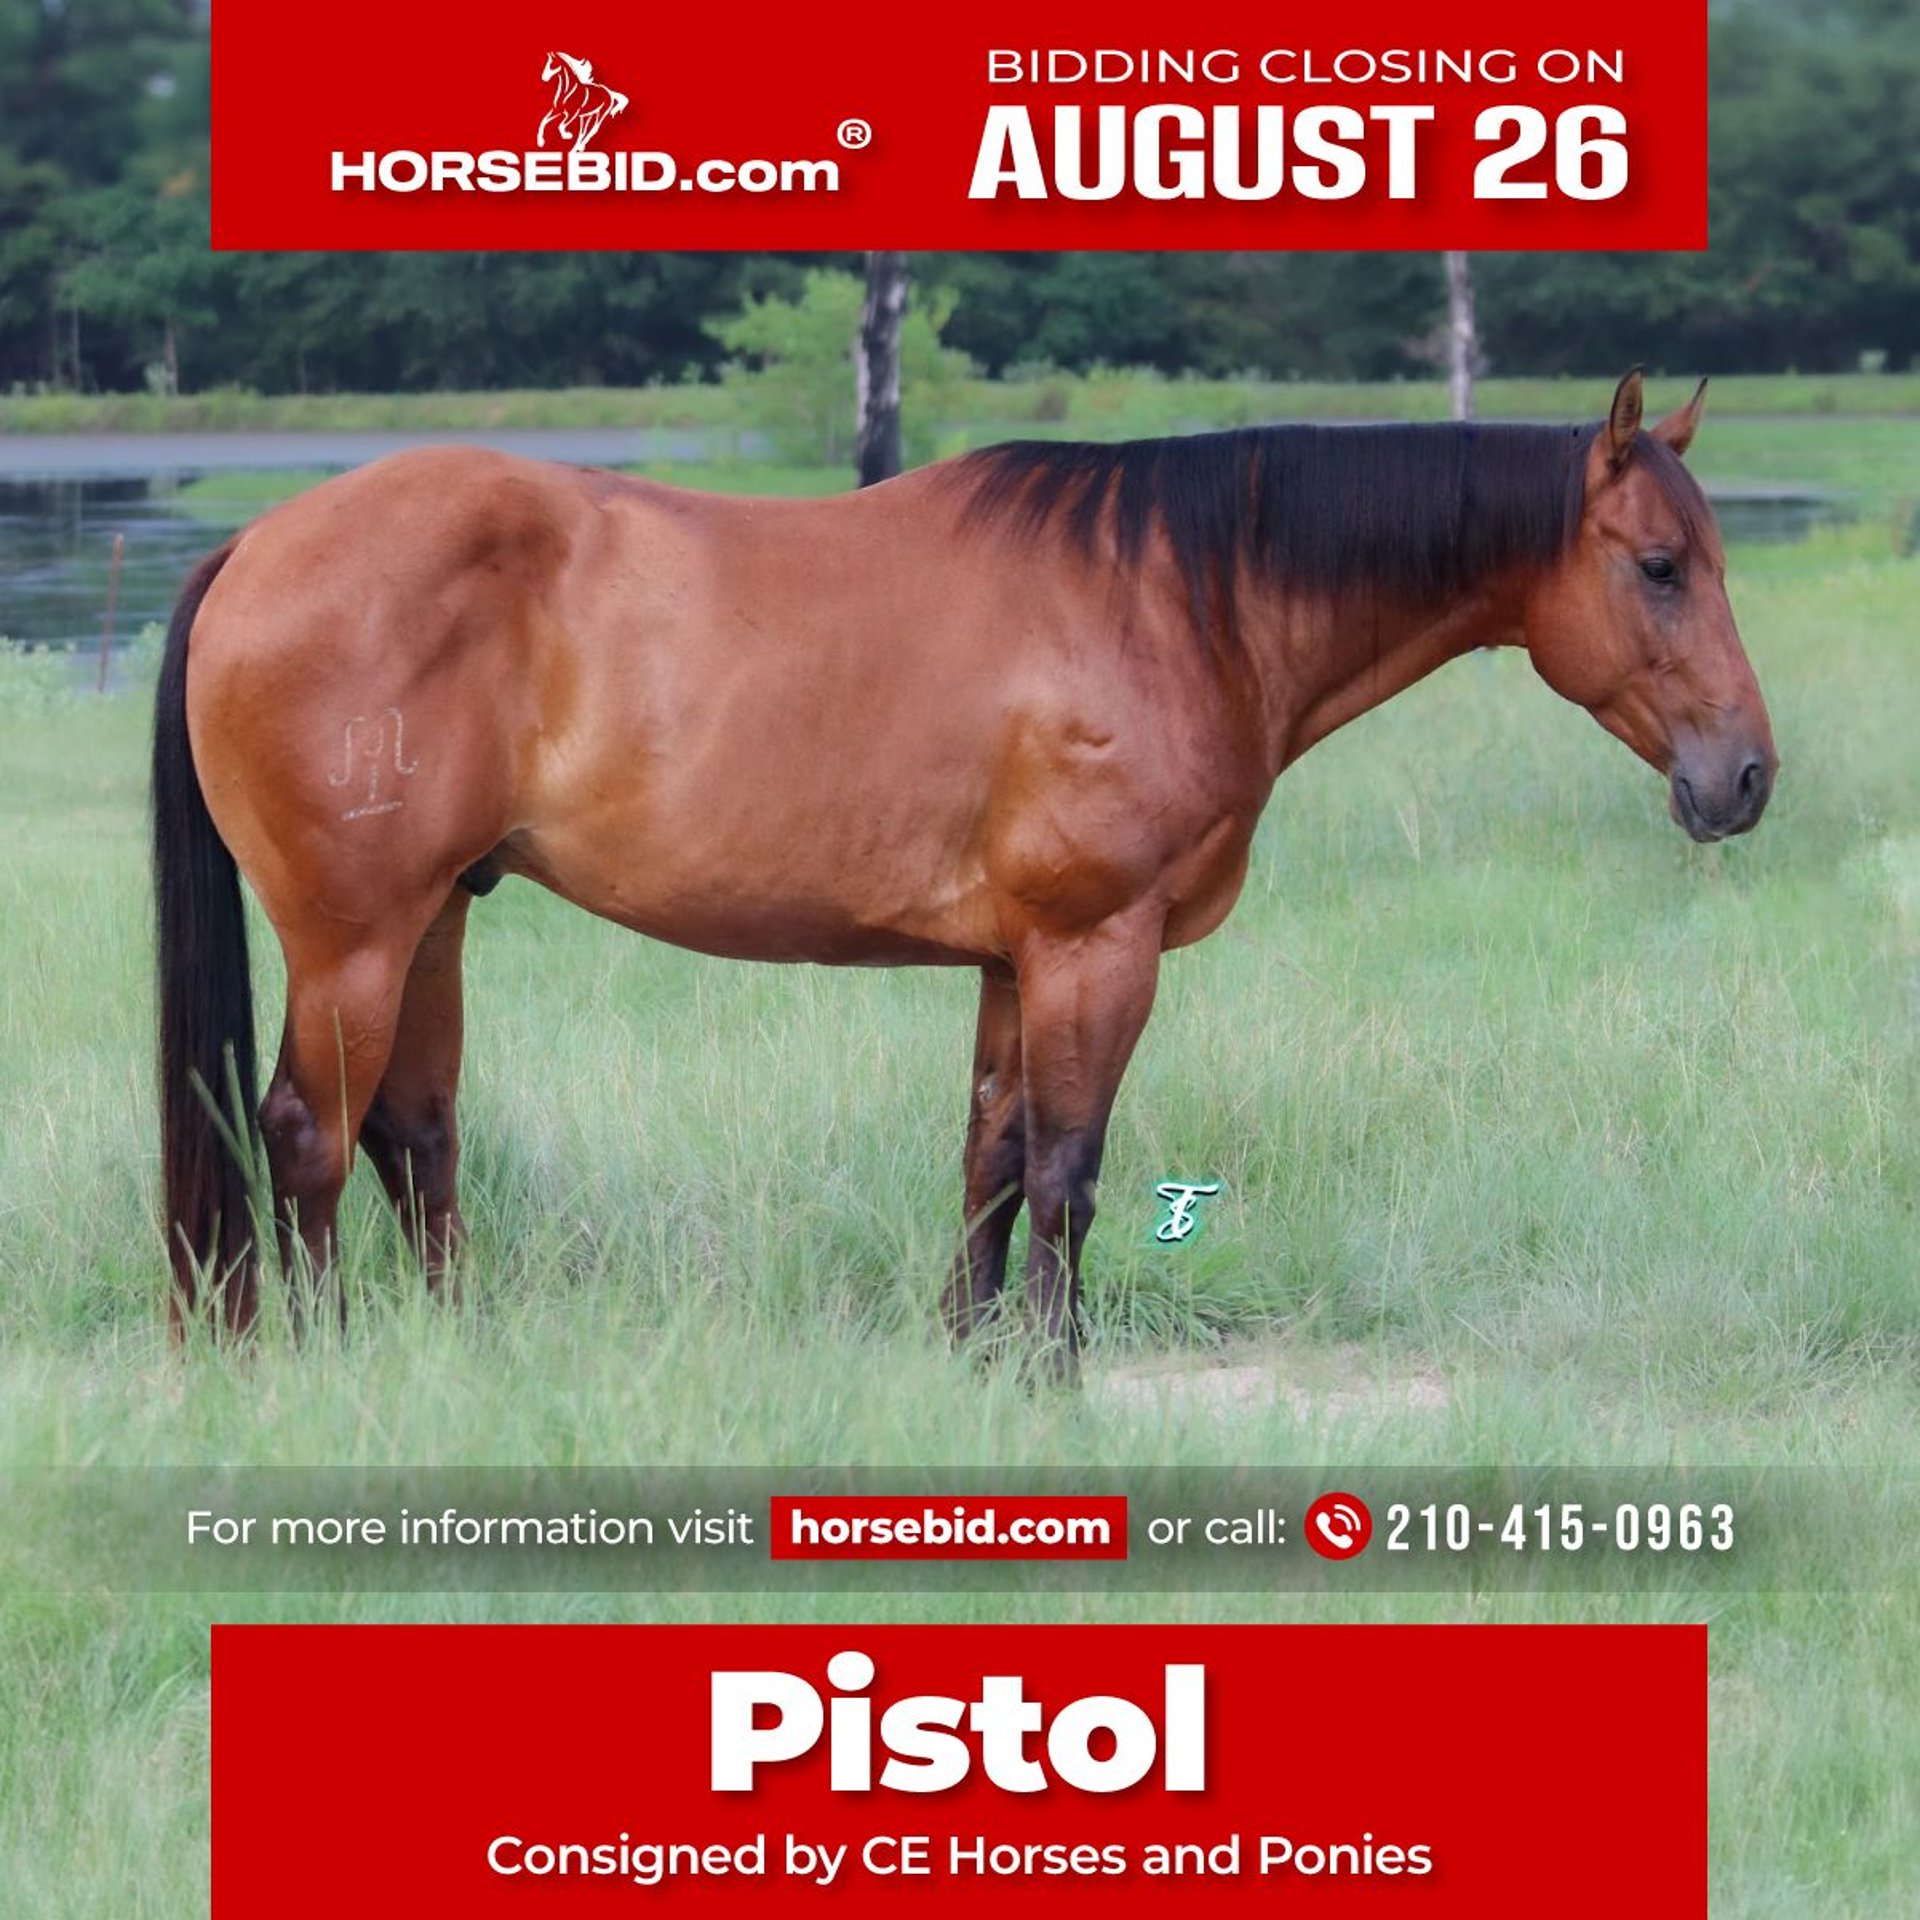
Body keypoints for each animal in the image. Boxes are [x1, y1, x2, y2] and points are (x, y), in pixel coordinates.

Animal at [152, 370, 1775, 1374]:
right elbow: (1066, 1171)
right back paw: (324, 1360)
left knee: (411, 1135)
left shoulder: (1013, 960)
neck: (1178, 601)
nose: (1746, 777)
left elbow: (993, 1159)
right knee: (305, 1134)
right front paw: (1058, 1376)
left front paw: (977, 1357)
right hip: (356, 935)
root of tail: (259, 543)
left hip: (435, 920)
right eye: (1660, 566)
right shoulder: (1094, 947)